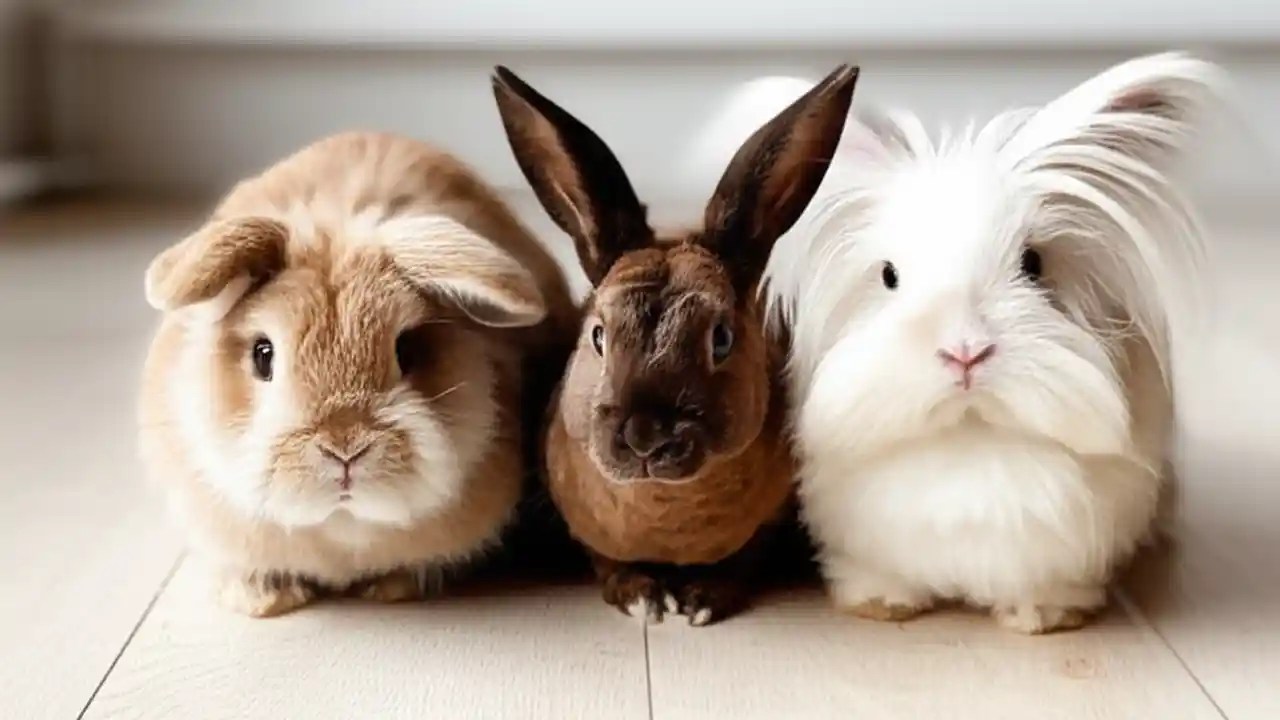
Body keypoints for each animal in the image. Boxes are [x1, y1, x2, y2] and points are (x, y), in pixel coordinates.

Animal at [491, 64, 860, 625]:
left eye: (721, 338)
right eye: (597, 335)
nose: (645, 434)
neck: (663, 506)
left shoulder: (769, 523)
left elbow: (741, 563)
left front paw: (703, 601)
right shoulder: (586, 531)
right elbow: (609, 564)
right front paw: (643, 598)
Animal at [688, 53, 1223, 633]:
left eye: (1034, 264)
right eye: (889, 275)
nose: (964, 351)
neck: (970, 437)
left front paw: (1042, 618)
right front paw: (882, 604)